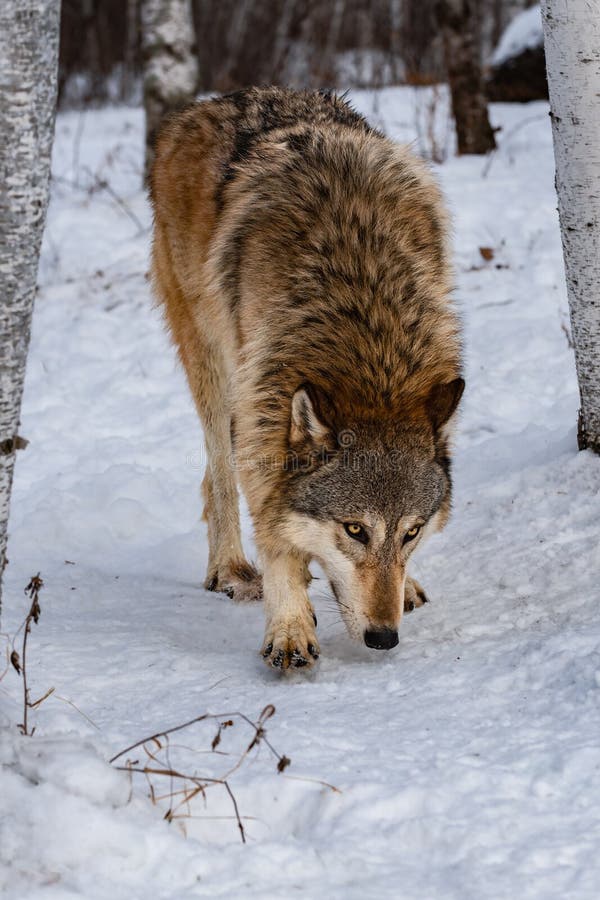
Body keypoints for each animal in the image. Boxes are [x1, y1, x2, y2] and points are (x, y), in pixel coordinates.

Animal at [149, 87, 463, 670]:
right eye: (354, 529)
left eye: (411, 532)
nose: (384, 638)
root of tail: (206, 104)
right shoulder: (261, 398)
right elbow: (275, 531)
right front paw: (290, 626)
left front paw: (405, 586)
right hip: (212, 363)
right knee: (218, 473)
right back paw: (229, 571)